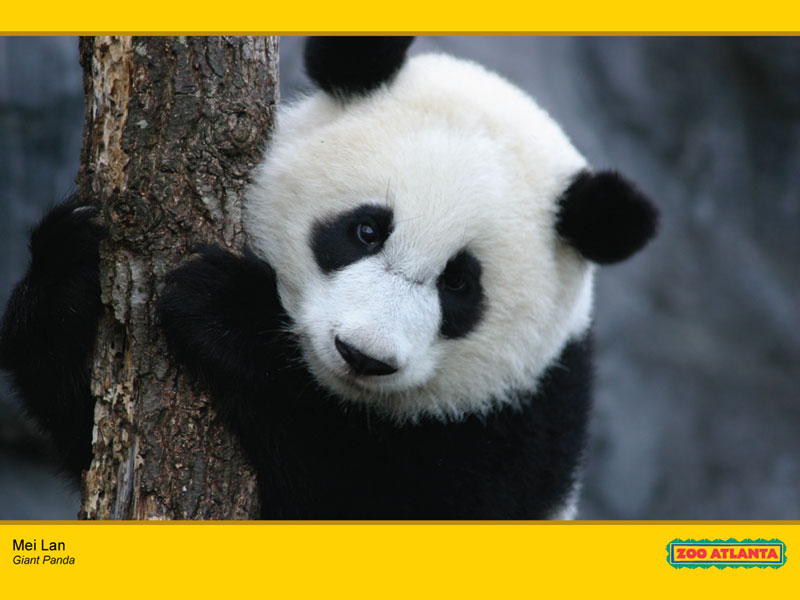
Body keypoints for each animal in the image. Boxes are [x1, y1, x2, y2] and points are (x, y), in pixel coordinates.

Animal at [0, 37, 657, 519]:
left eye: (459, 285)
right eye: (366, 230)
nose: (363, 355)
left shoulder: (527, 427)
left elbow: (367, 493)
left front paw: (226, 309)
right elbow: (79, 424)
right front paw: (74, 257)